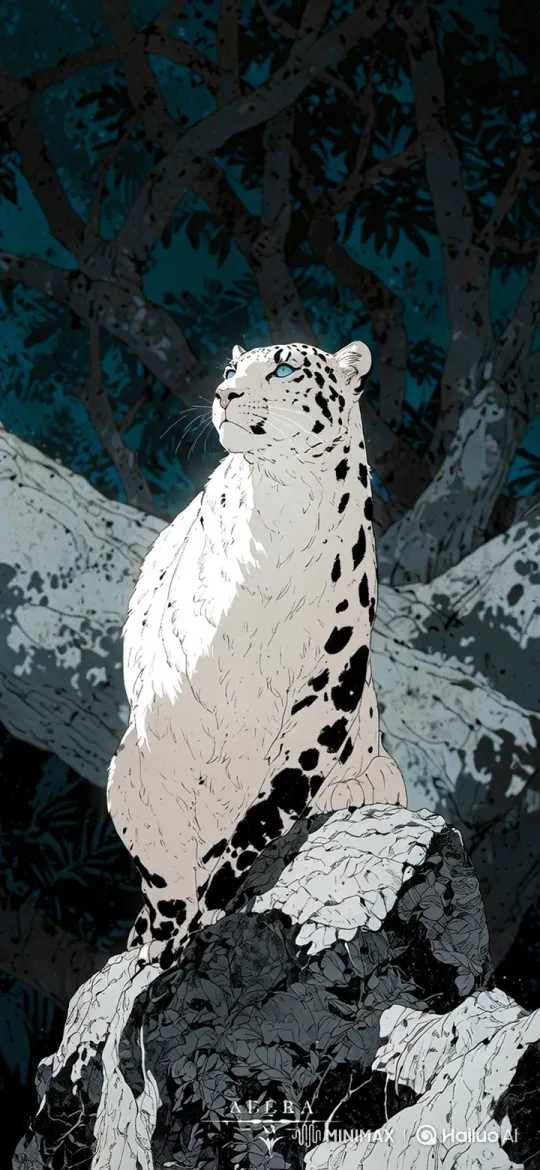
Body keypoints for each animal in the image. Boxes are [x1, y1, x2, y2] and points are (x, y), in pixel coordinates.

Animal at [107, 339, 407, 969]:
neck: (279, 513)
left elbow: (272, 805)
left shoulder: (328, 689)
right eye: (230, 369)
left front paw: (210, 904)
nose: (225, 394)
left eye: (285, 368)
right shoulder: (163, 722)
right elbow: (163, 845)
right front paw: (166, 933)